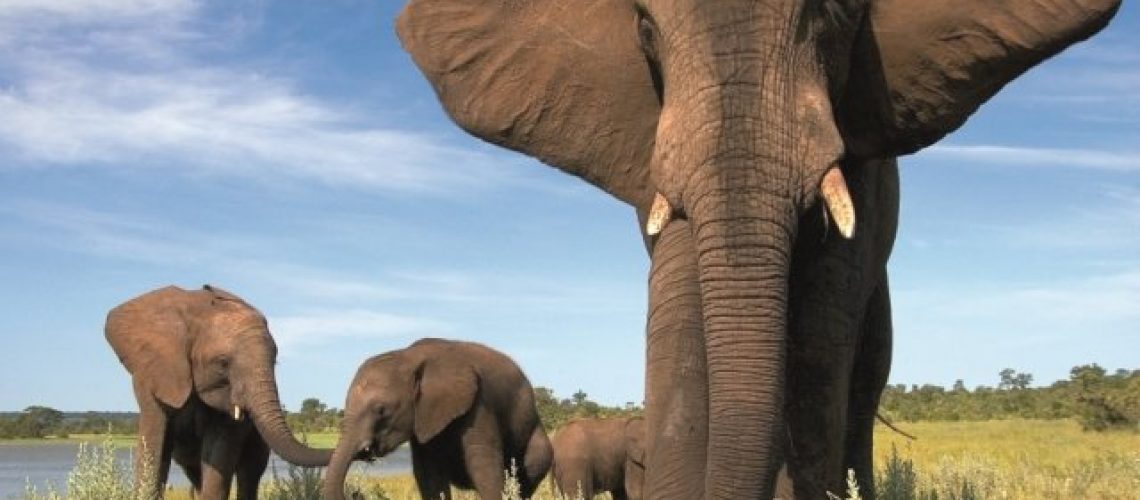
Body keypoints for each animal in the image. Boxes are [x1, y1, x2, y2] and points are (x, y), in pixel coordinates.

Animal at [104, 284, 332, 500]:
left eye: (274, 361)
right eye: (223, 362)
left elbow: (219, 452)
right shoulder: (151, 377)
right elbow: (154, 446)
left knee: (250, 472)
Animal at [323, 337, 553, 500]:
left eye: (381, 410)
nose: (356, 494)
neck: (409, 356)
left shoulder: (479, 405)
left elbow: (484, 469)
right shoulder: (423, 419)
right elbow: (429, 476)